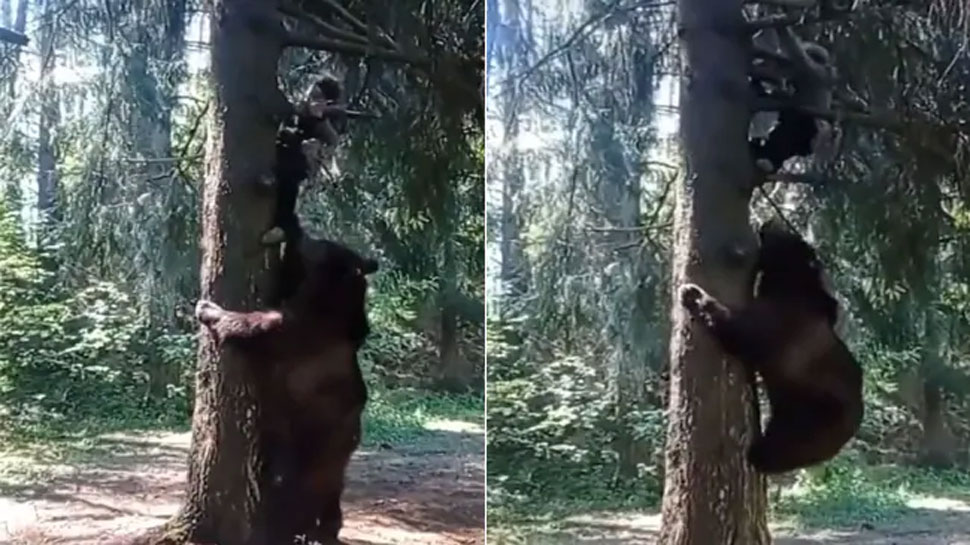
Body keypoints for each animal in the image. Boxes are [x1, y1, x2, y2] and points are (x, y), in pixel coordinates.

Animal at [195, 231, 378, 542]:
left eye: (321, 244)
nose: (304, 236)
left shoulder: (299, 331)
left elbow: (253, 325)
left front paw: (209, 309)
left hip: (317, 438)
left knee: (297, 483)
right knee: (329, 487)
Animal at [677, 217, 863, 473]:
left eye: (788, 236)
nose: (769, 221)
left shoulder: (783, 319)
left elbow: (741, 331)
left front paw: (693, 294)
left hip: (814, 416)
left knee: (785, 446)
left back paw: (758, 454)